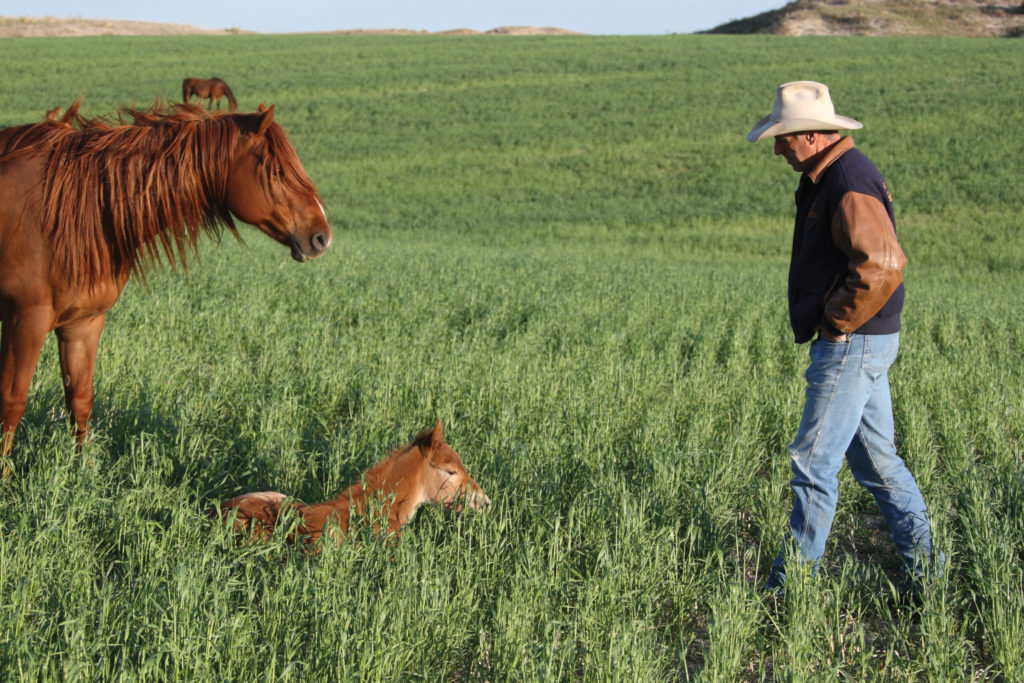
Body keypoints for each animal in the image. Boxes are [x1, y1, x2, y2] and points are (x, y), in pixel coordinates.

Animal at [0, 101, 331, 471]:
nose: (322, 236)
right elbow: (12, 403)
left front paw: (81, 473)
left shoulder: (83, 325)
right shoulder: (24, 322)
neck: (73, 210)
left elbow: (80, 400)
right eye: (277, 171)